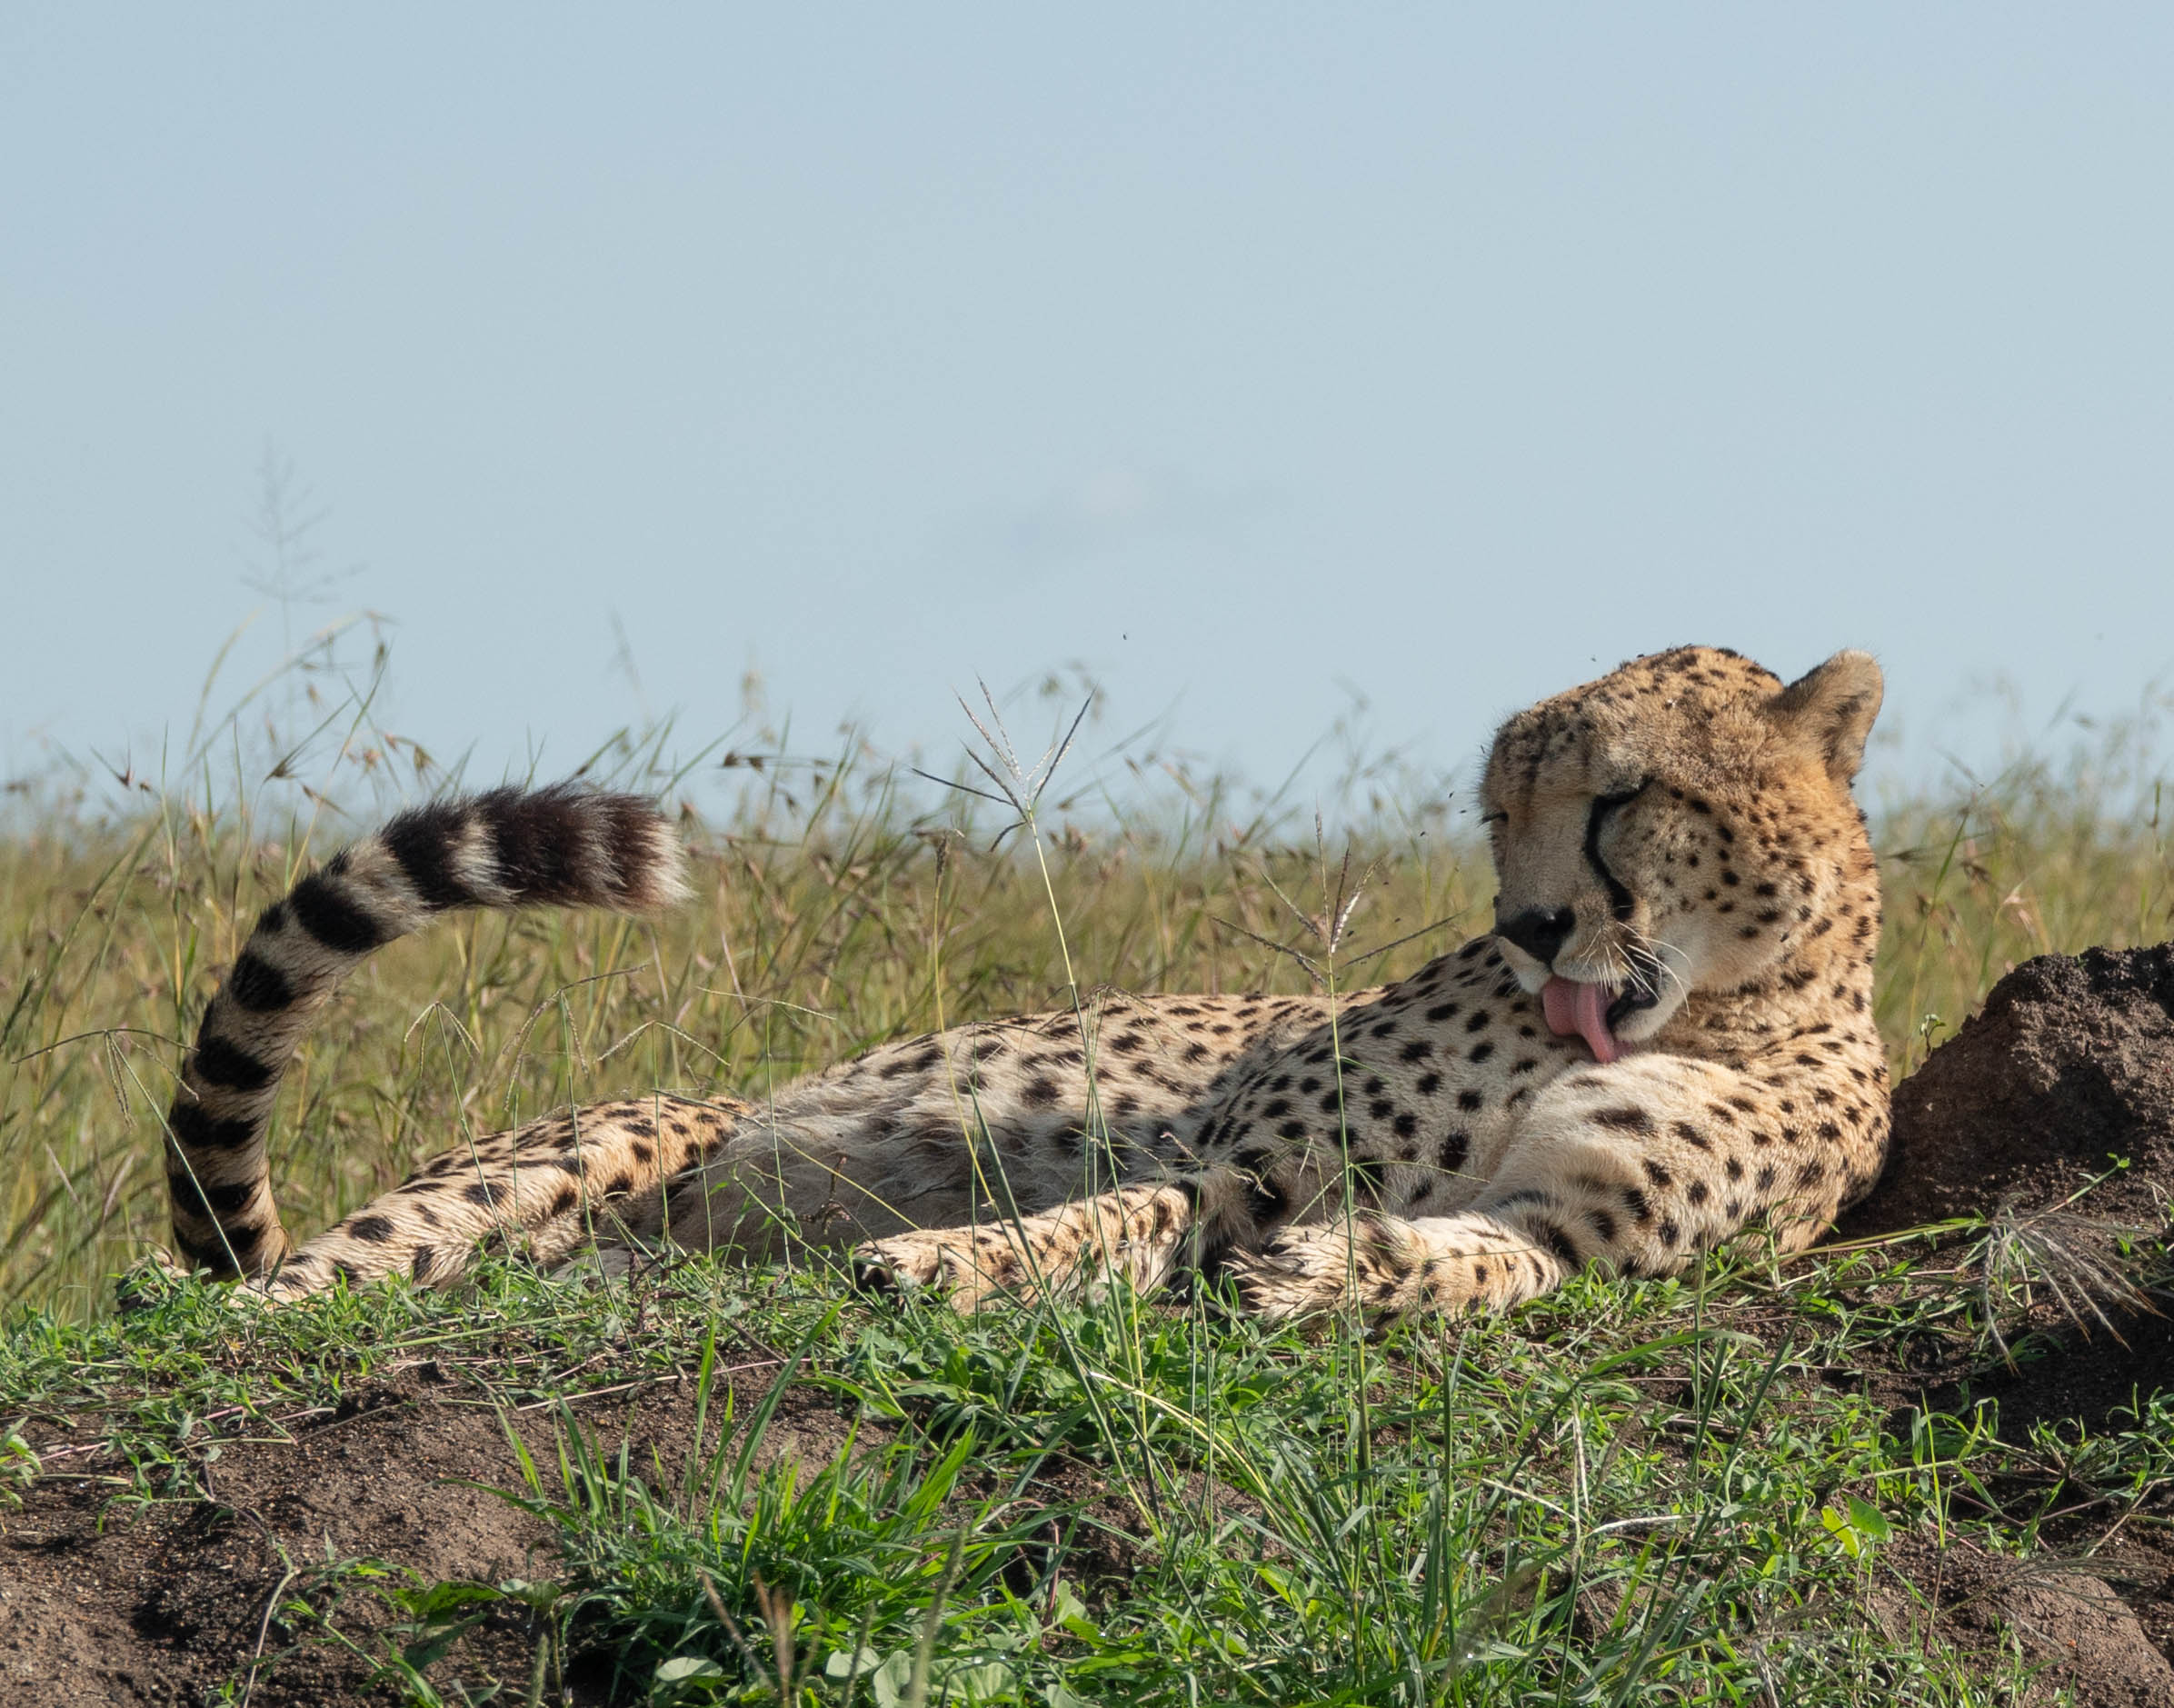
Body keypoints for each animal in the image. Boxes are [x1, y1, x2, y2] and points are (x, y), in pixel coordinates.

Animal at [155, 645, 1891, 1321]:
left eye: (1618, 797)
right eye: (1498, 812)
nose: (1534, 928)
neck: (1732, 998)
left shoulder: (1569, 1235)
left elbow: (1467, 1267)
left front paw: (1328, 1278)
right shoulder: (1251, 1154)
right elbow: (1115, 1213)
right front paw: (946, 1260)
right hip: (615, 1136)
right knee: (259, 1290)